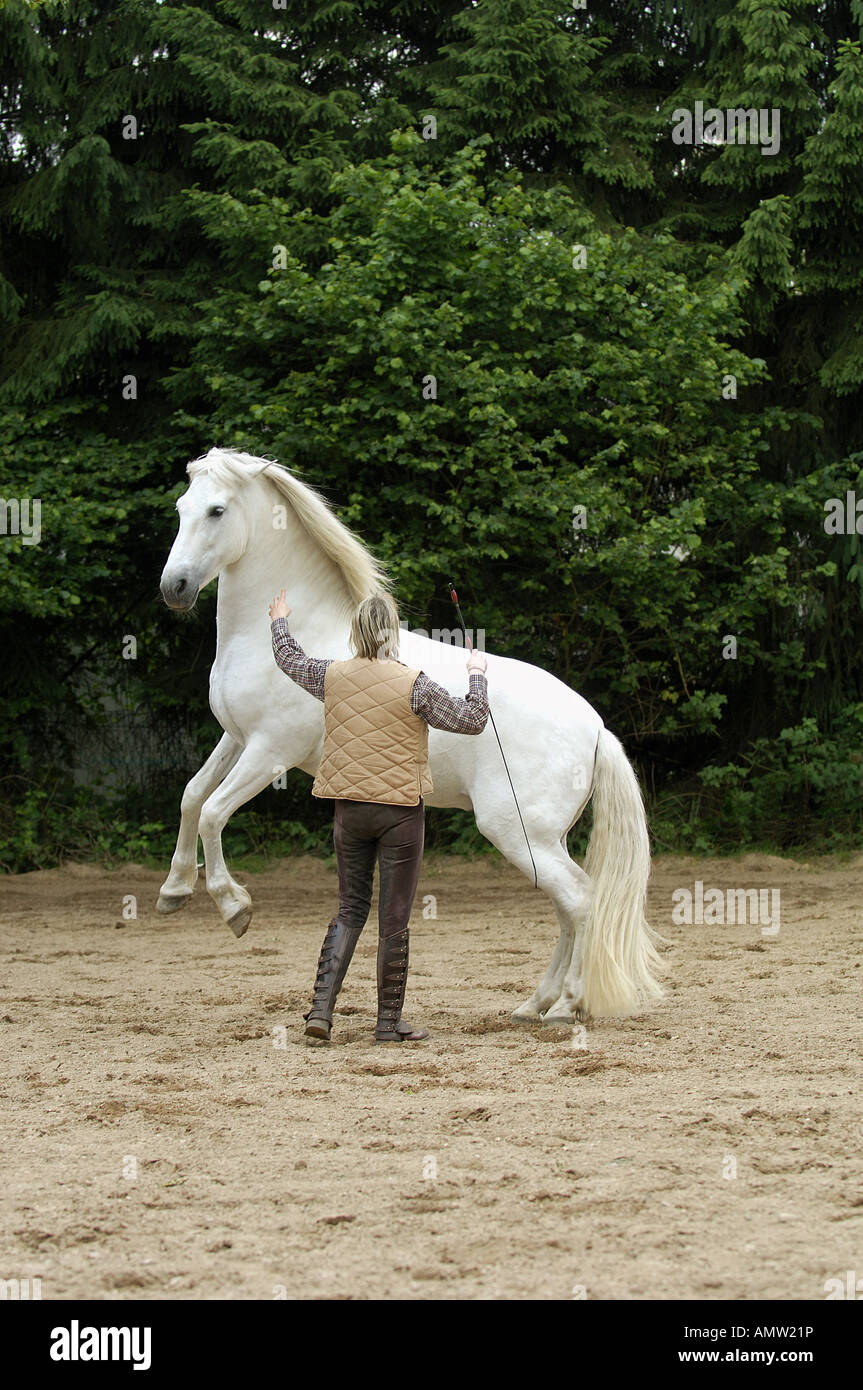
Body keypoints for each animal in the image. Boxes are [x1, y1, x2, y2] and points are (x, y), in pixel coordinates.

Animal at [157, 448, 664, 1023]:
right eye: (181, 507)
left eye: (217, 510)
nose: (174, 588)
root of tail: (595, 728)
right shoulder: (237, 739)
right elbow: (191, 797)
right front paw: (173, 889)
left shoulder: (270, 752)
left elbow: (214, 812)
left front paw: (234, 906)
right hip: (540, 842)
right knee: (568, 908)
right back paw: (535, 1003)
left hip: (519, 833)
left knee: (580, 900)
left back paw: (566, 1005)